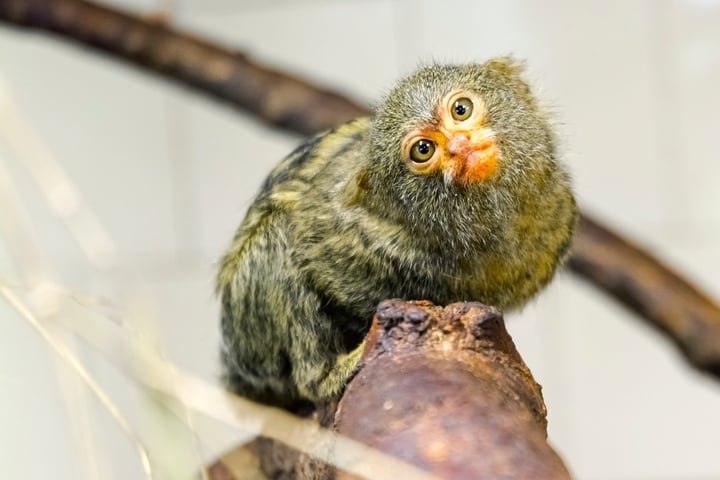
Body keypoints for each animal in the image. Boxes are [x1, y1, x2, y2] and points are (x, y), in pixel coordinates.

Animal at [216, 57, 578, 409]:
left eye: (461, 109)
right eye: (423, 150)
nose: (460, 146)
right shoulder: (341, 231)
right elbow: (299, 234)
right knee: (275, 232)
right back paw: (324, 375)